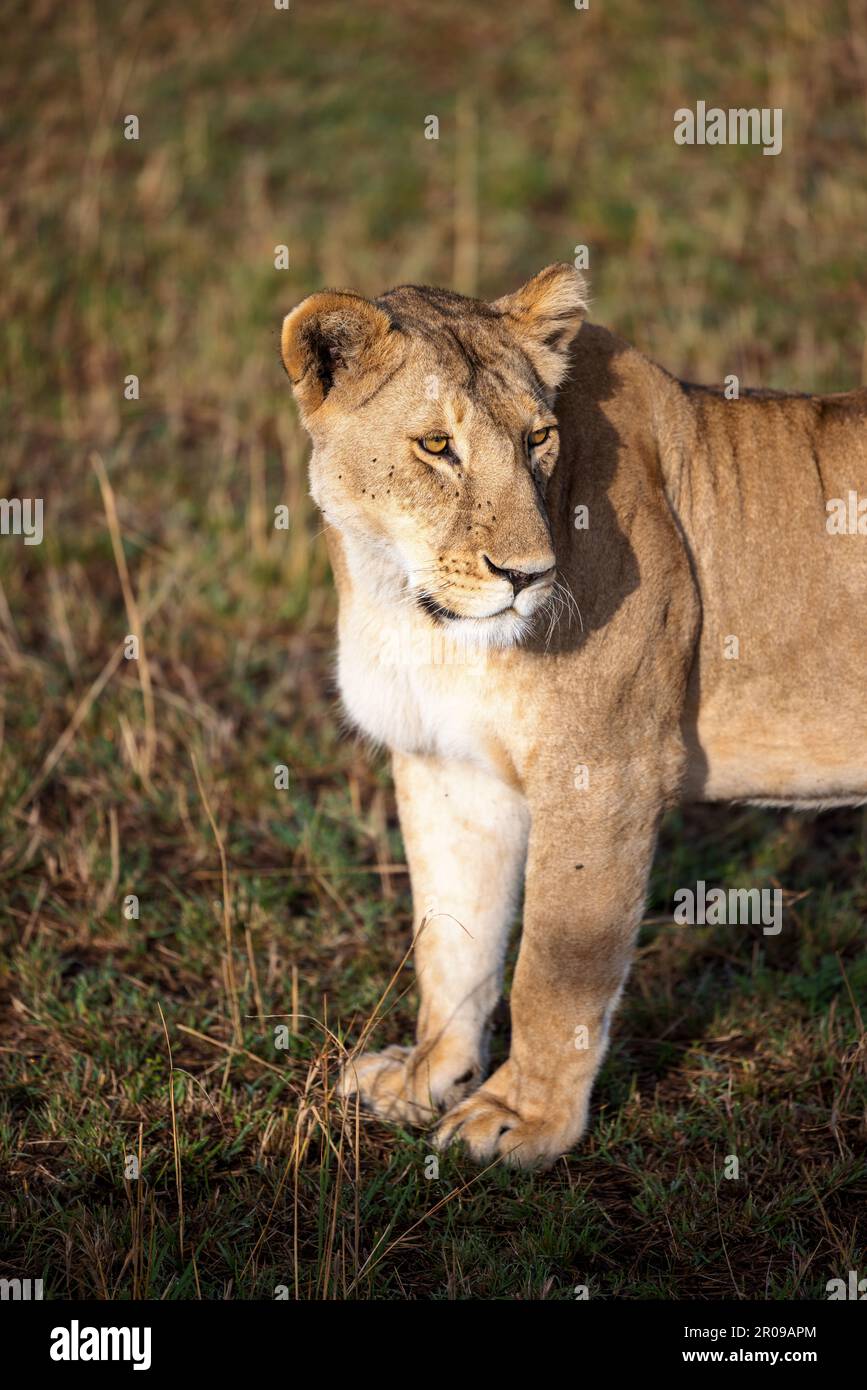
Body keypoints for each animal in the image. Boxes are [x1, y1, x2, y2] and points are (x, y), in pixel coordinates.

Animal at [280, 264, 867, 1167]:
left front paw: (519, 1119)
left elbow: (554, 969)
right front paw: (426, 1079)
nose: (527, 574)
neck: (407, 607)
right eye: (436, 447)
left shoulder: (604, 770)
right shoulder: (448, 769)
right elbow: (452, 941)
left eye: (537, 440)